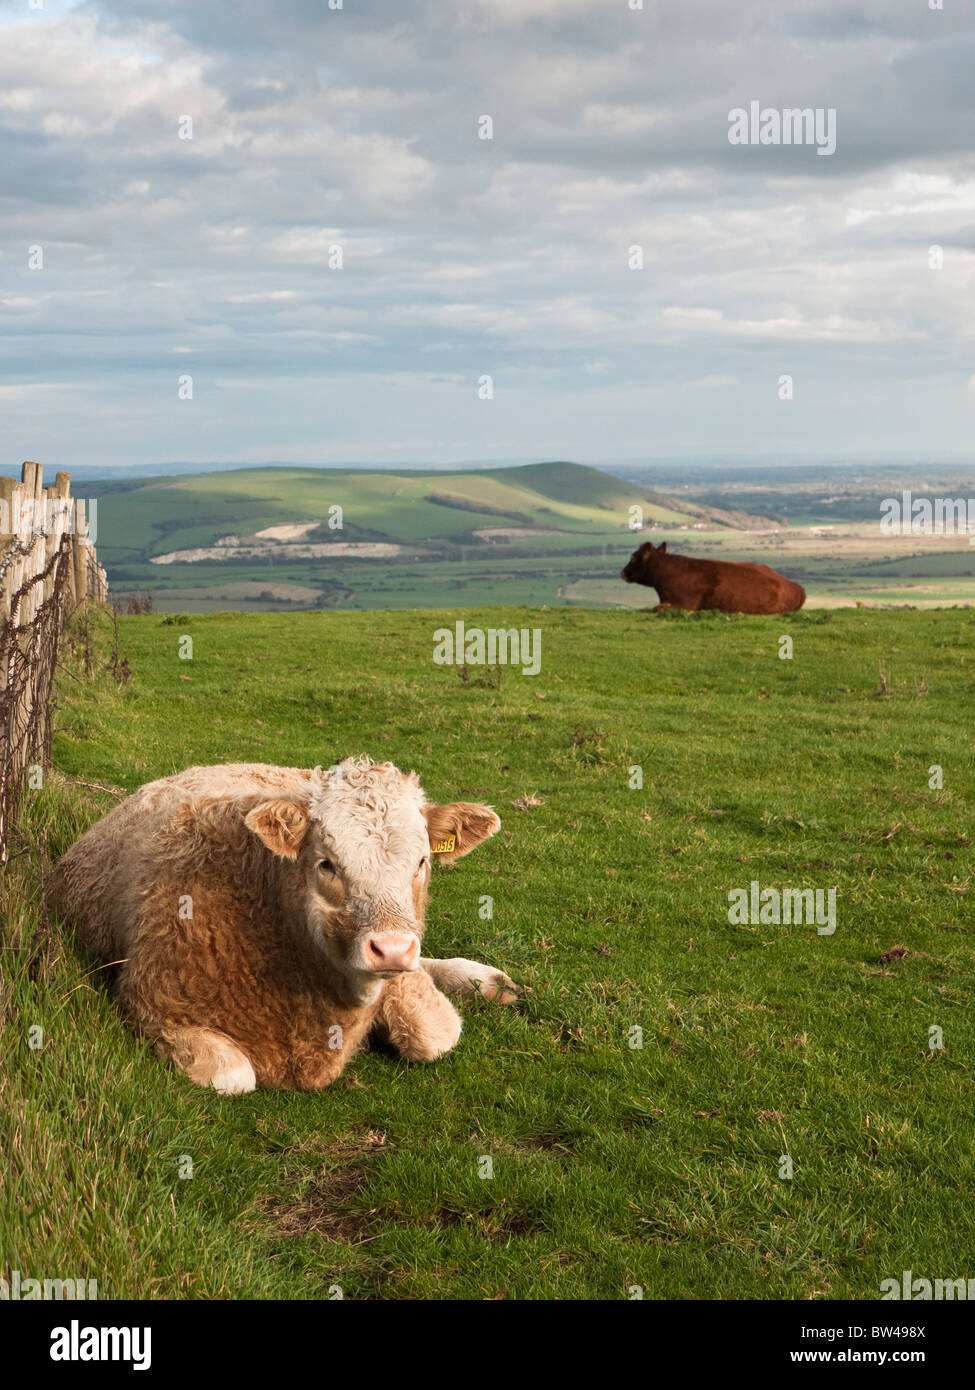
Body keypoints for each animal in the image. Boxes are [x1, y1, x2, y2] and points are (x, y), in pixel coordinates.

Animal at [46, 758, 519, 1094]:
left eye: (421, 862)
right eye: (326, 863)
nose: (392, 948)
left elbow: (435, 1033)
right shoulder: (149, 1002)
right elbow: (233, 1077)